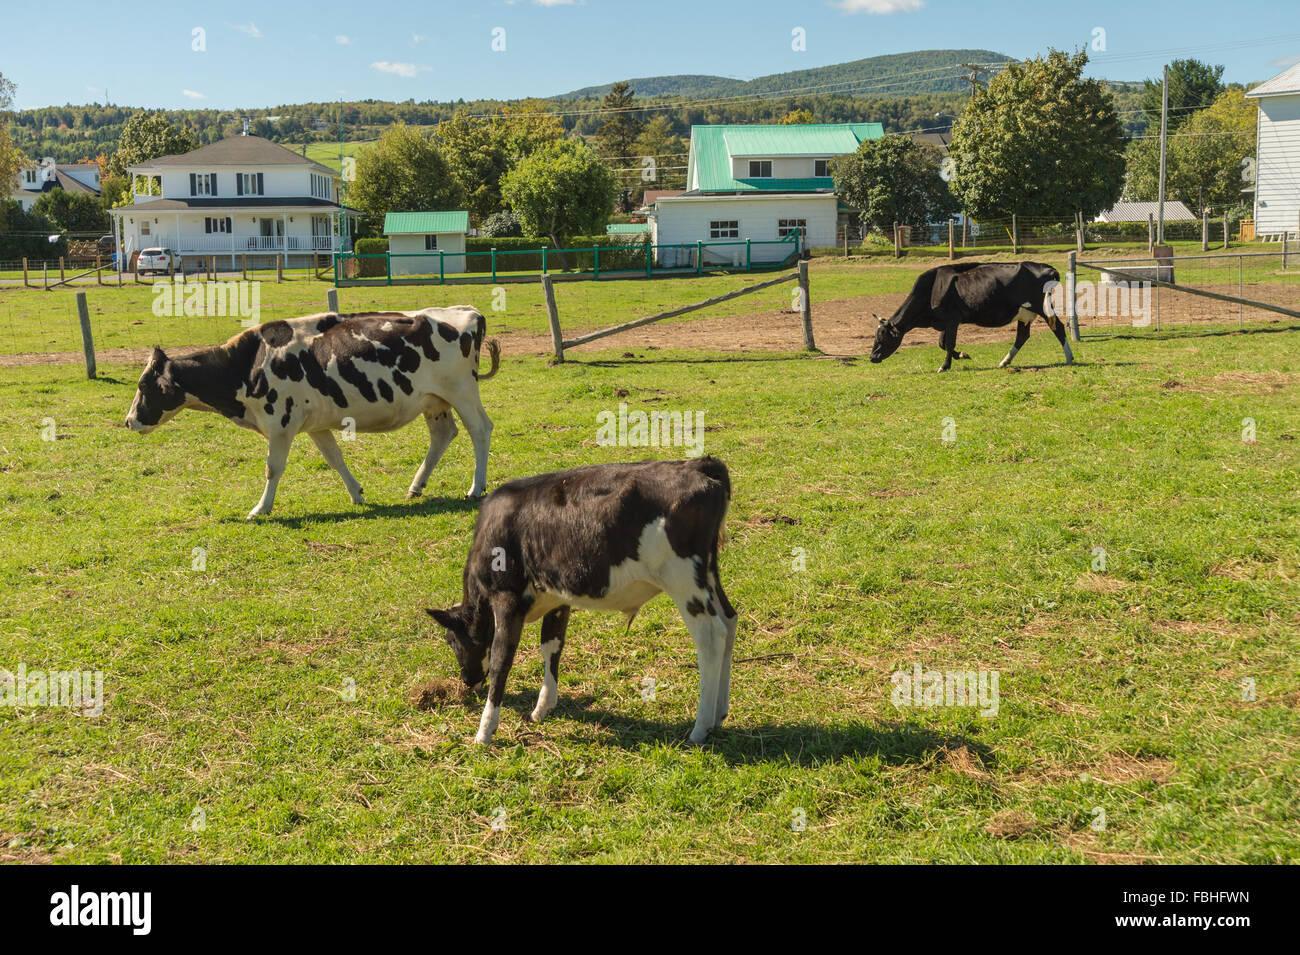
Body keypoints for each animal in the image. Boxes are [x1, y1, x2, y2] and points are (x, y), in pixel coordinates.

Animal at [125, 307, 500, 519]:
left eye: (144, 386)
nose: (128, 422)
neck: (248, 364)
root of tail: (467, 311)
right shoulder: (316, 425)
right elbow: (335, 459)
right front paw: (357, 494)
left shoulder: (280, 424)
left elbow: (272, 469)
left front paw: (261, 508)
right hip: (434, 401)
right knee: (443, 435)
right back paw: (416, 486)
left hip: (462, 391)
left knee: (480, 430)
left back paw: (476, 487)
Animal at [425, 457, 737, 746]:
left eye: (451, 641)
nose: (466, 681)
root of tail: (697, 464)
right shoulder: (557, 598)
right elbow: (551, 647)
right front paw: (543, 707)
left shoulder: (506, 598)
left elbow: (502, 660)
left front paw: (484, 731)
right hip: (708, 574)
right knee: (730, 620)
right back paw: (720, 713)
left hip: (683, 580)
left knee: (711, 637)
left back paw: (700, 728)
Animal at [869, 261, 1074, 372]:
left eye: (882, 337)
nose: (872, 357)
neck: (932, 288)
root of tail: (1046, 268)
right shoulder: (944, 322)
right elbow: (943, 343)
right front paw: (962, 355)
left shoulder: (952, 320)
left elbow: (948, 343)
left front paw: (945, 366)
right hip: (1024, 313)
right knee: (1022, 336)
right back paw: (1004, 361)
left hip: (1042, 307)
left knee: (1058, 327)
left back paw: (1069, 357)